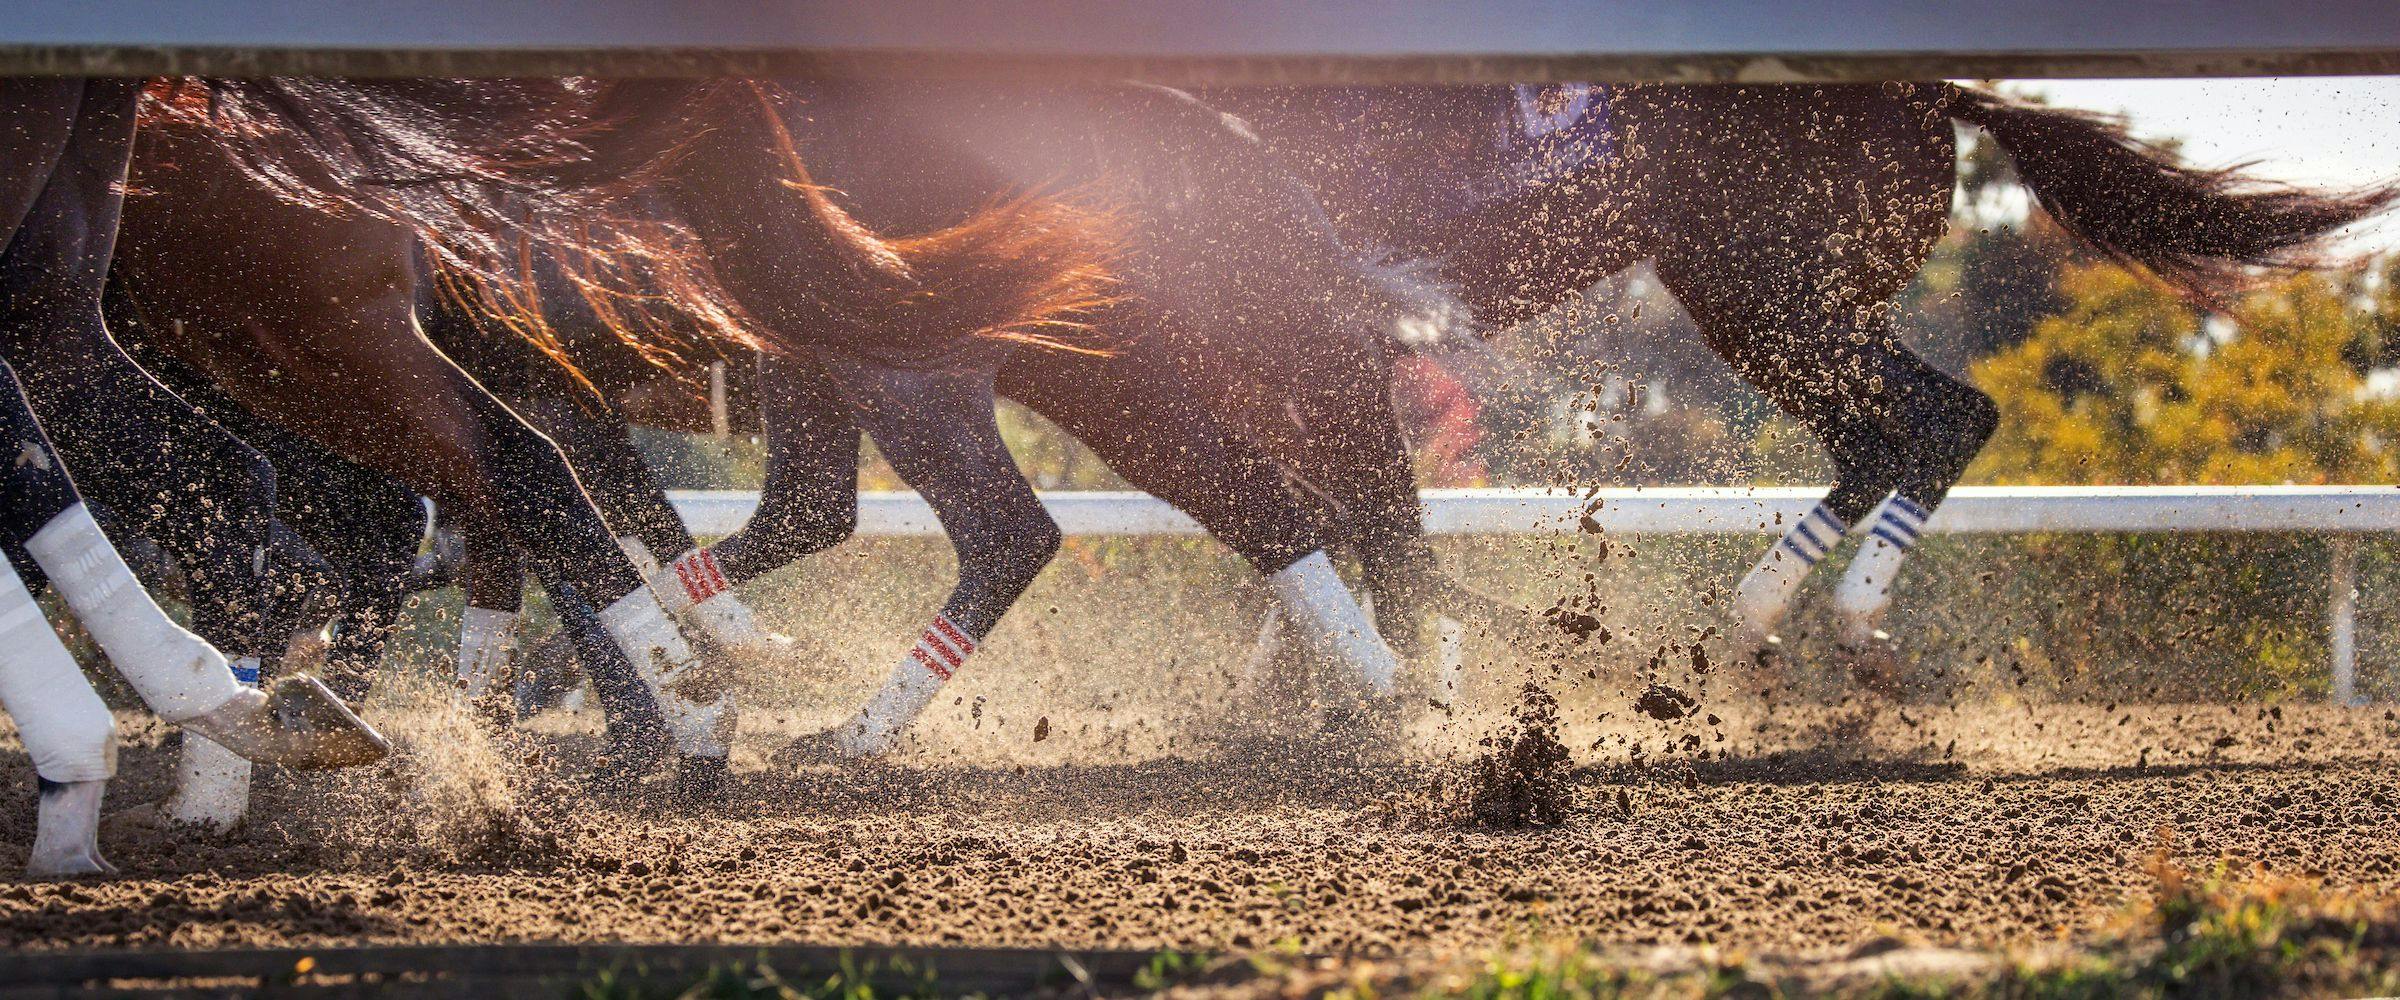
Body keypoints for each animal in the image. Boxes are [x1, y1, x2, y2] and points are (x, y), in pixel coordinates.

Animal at [1198, 81, 2397, 678]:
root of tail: (1933, 92)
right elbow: (1353, 517)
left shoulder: (1322, 336)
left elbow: (1371, 523)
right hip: (1765, 301)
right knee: (1874, 441)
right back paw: (1751, 617)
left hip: (1773, 289)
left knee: (1947, 414)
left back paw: (1847, 615)